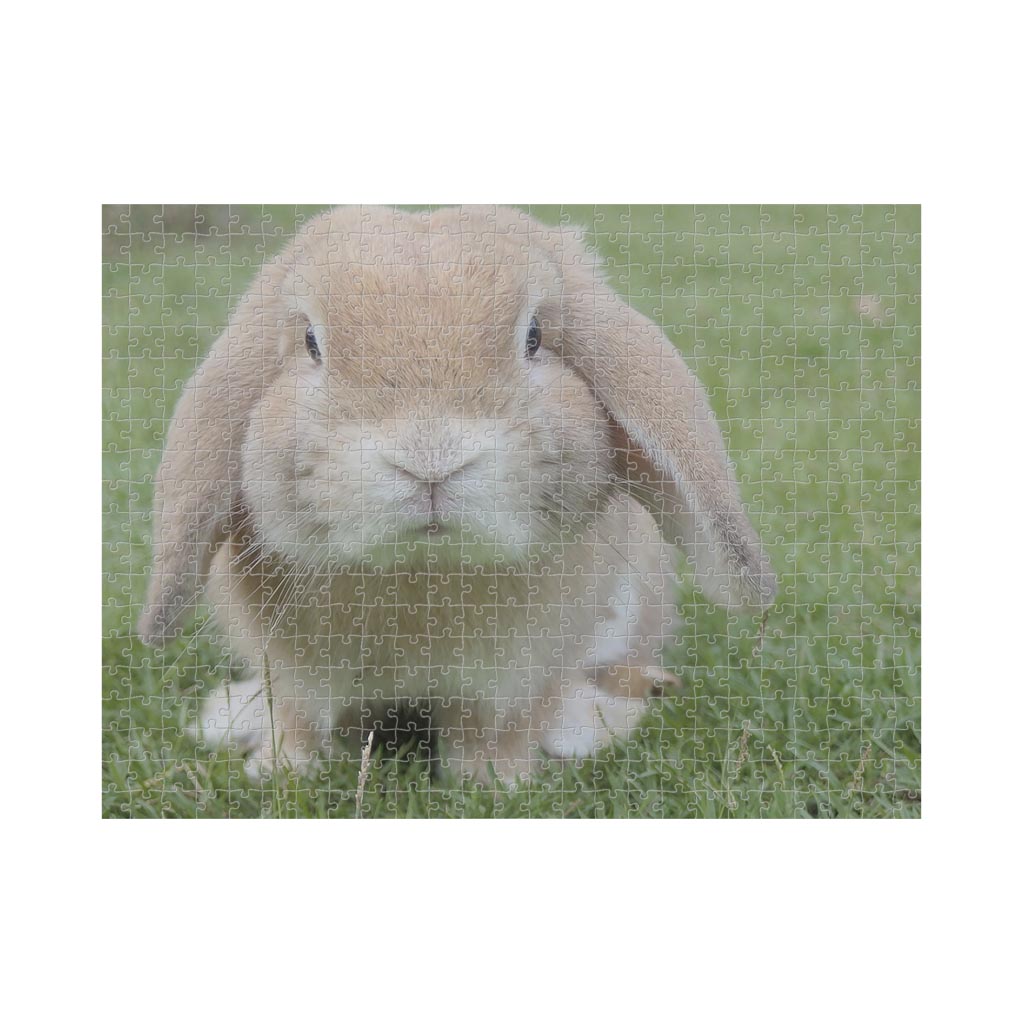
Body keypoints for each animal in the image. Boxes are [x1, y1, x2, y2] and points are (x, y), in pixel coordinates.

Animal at [138, 205, 776, 783]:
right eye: (311, 343)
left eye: (535, 337)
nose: (429, 458)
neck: (422, 571)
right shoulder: (294, 673)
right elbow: (302, 721)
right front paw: (280, 772)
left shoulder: (514, 676)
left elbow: (495, 727)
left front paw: (494, 781)